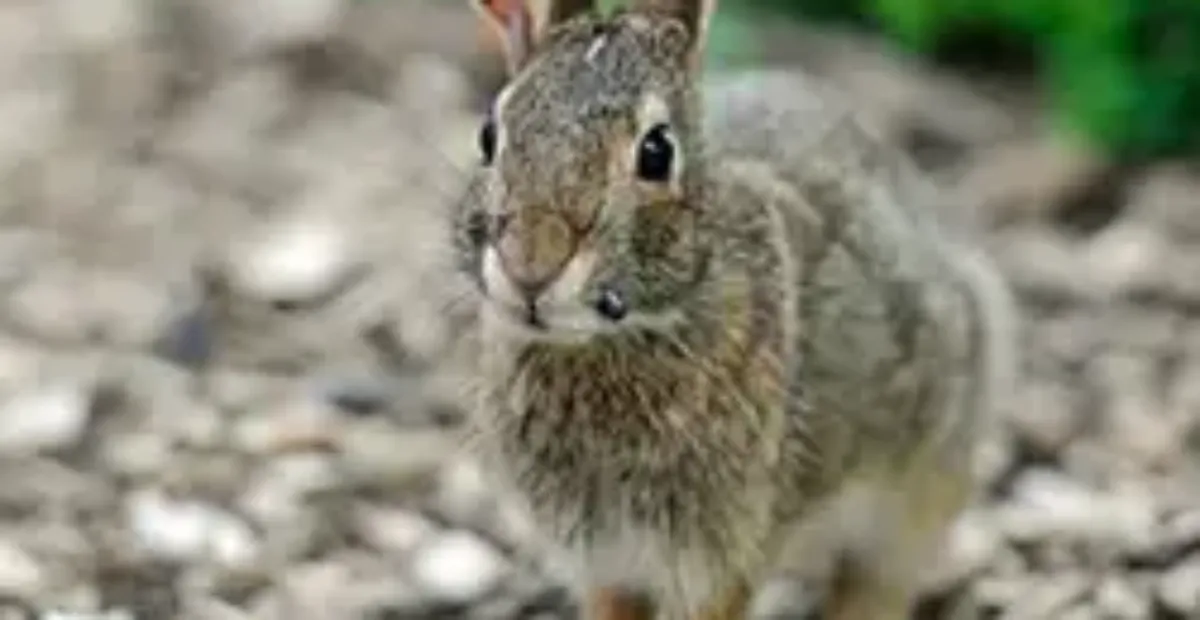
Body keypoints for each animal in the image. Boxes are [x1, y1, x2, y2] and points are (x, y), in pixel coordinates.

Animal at [448, 0, 1018, 618]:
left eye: (656, 152)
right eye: (488, 135)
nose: (530, 265)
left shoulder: (723, 552)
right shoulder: (607, 563)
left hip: (920, 475)